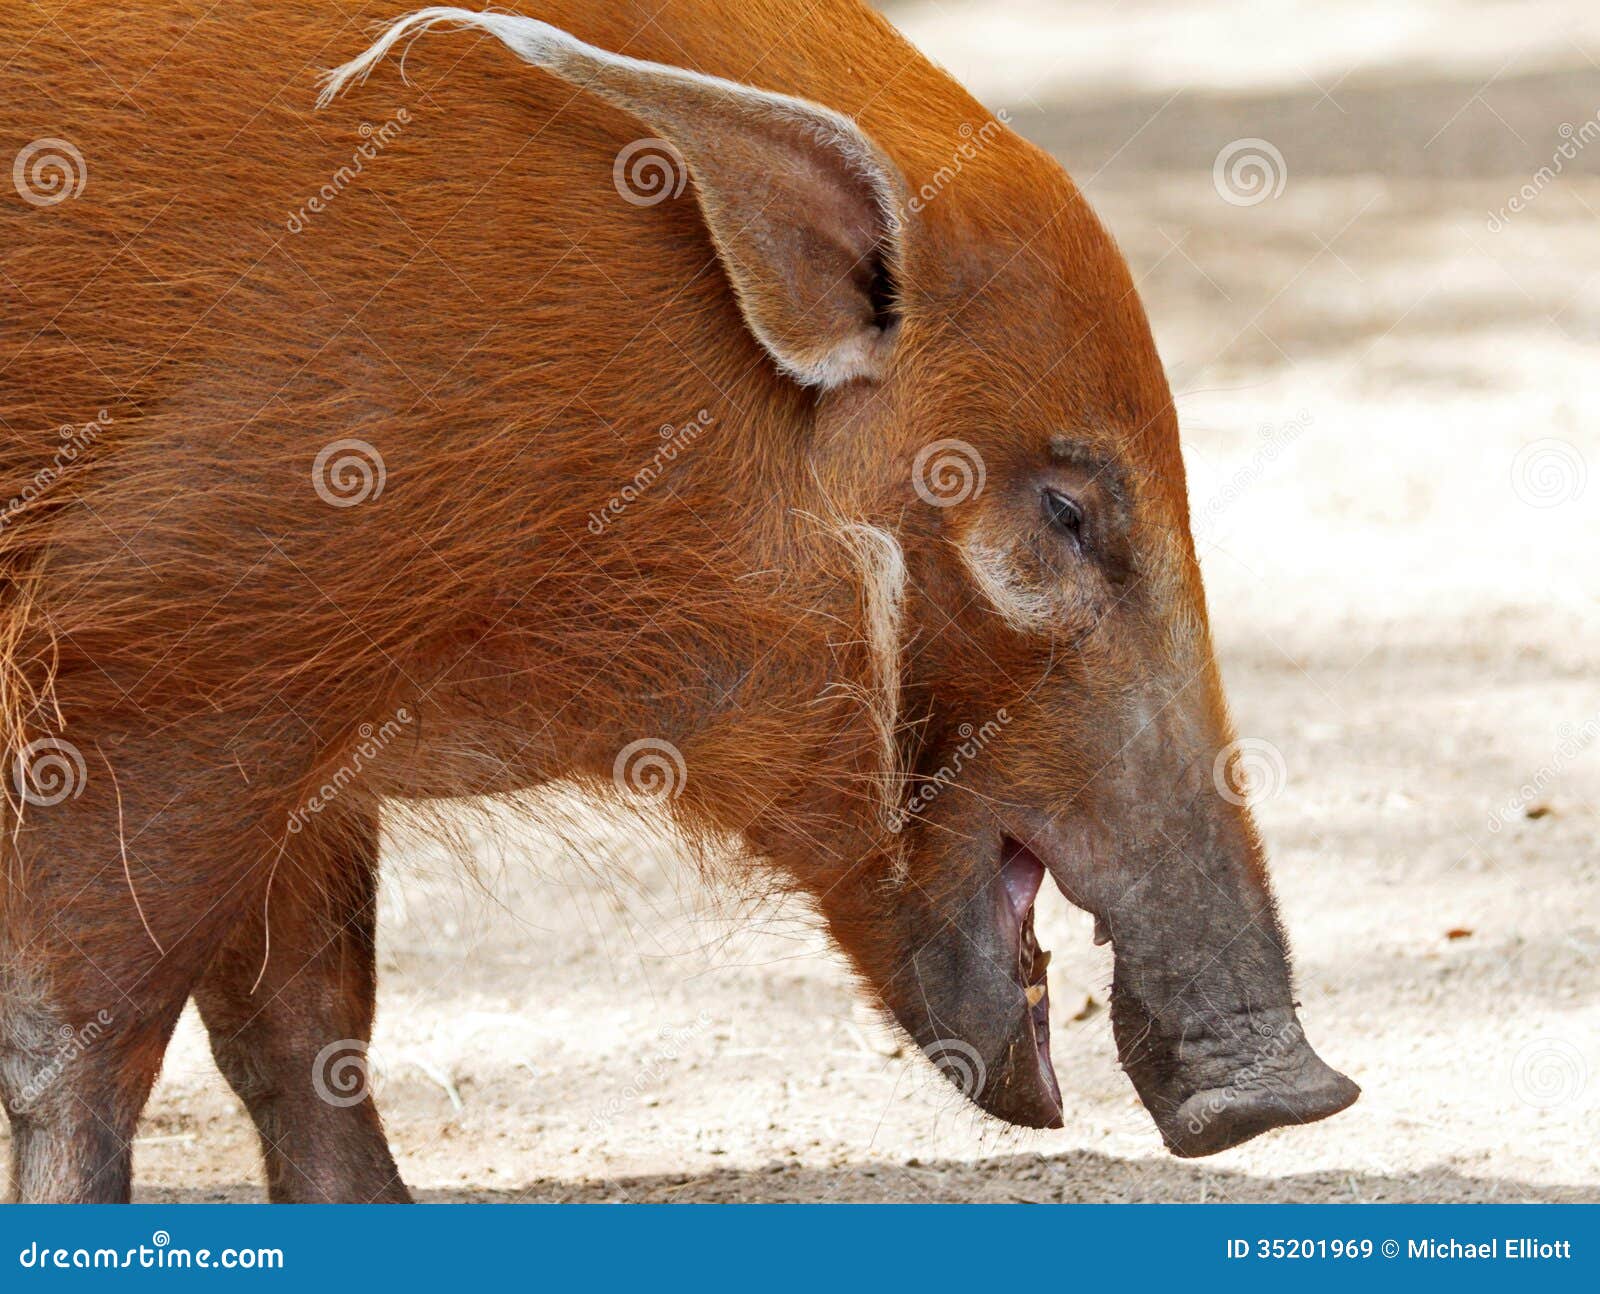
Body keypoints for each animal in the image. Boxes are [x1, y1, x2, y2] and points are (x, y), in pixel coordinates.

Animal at [0, 0, 1357, 1202]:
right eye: (1067, 513)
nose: (1297, 1092)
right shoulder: (169, 680)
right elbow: (83, 1046)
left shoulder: (313, 729)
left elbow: (305, 1027)